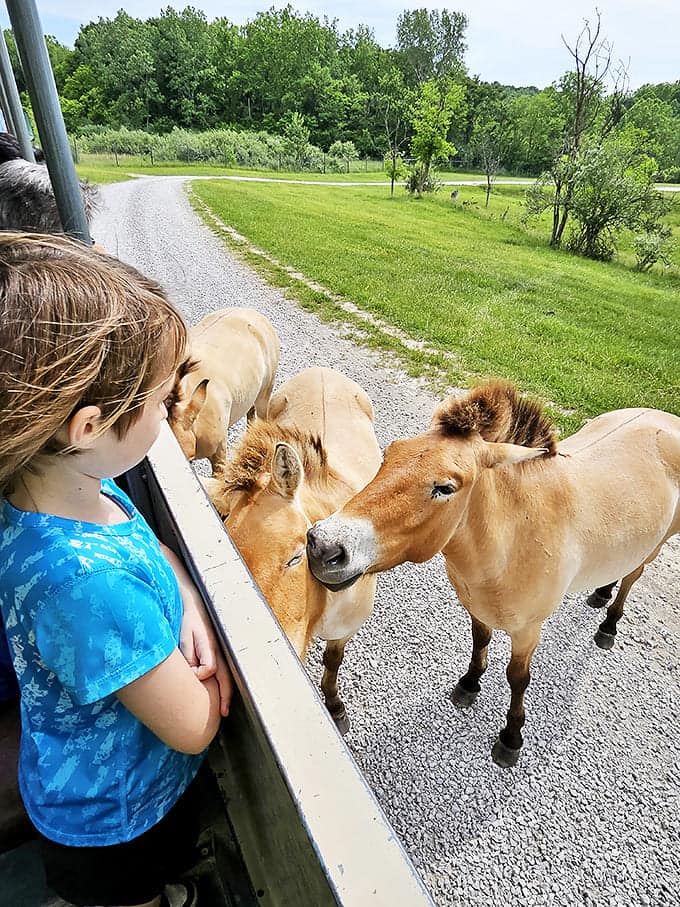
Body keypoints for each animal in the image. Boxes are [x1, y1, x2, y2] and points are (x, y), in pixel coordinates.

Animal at [306, 380, 680, 765]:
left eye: (445, 488)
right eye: (389, 454)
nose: (324, 547)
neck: (514, 539)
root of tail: (665, 420)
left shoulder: (528, 631)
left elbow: (518, 678)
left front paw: (511, 737)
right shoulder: (478, 608)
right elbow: (480, 642)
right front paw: (468, 685)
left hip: (656, 546)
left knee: (633, 578)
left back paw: (608, 626)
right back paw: (601, 592)